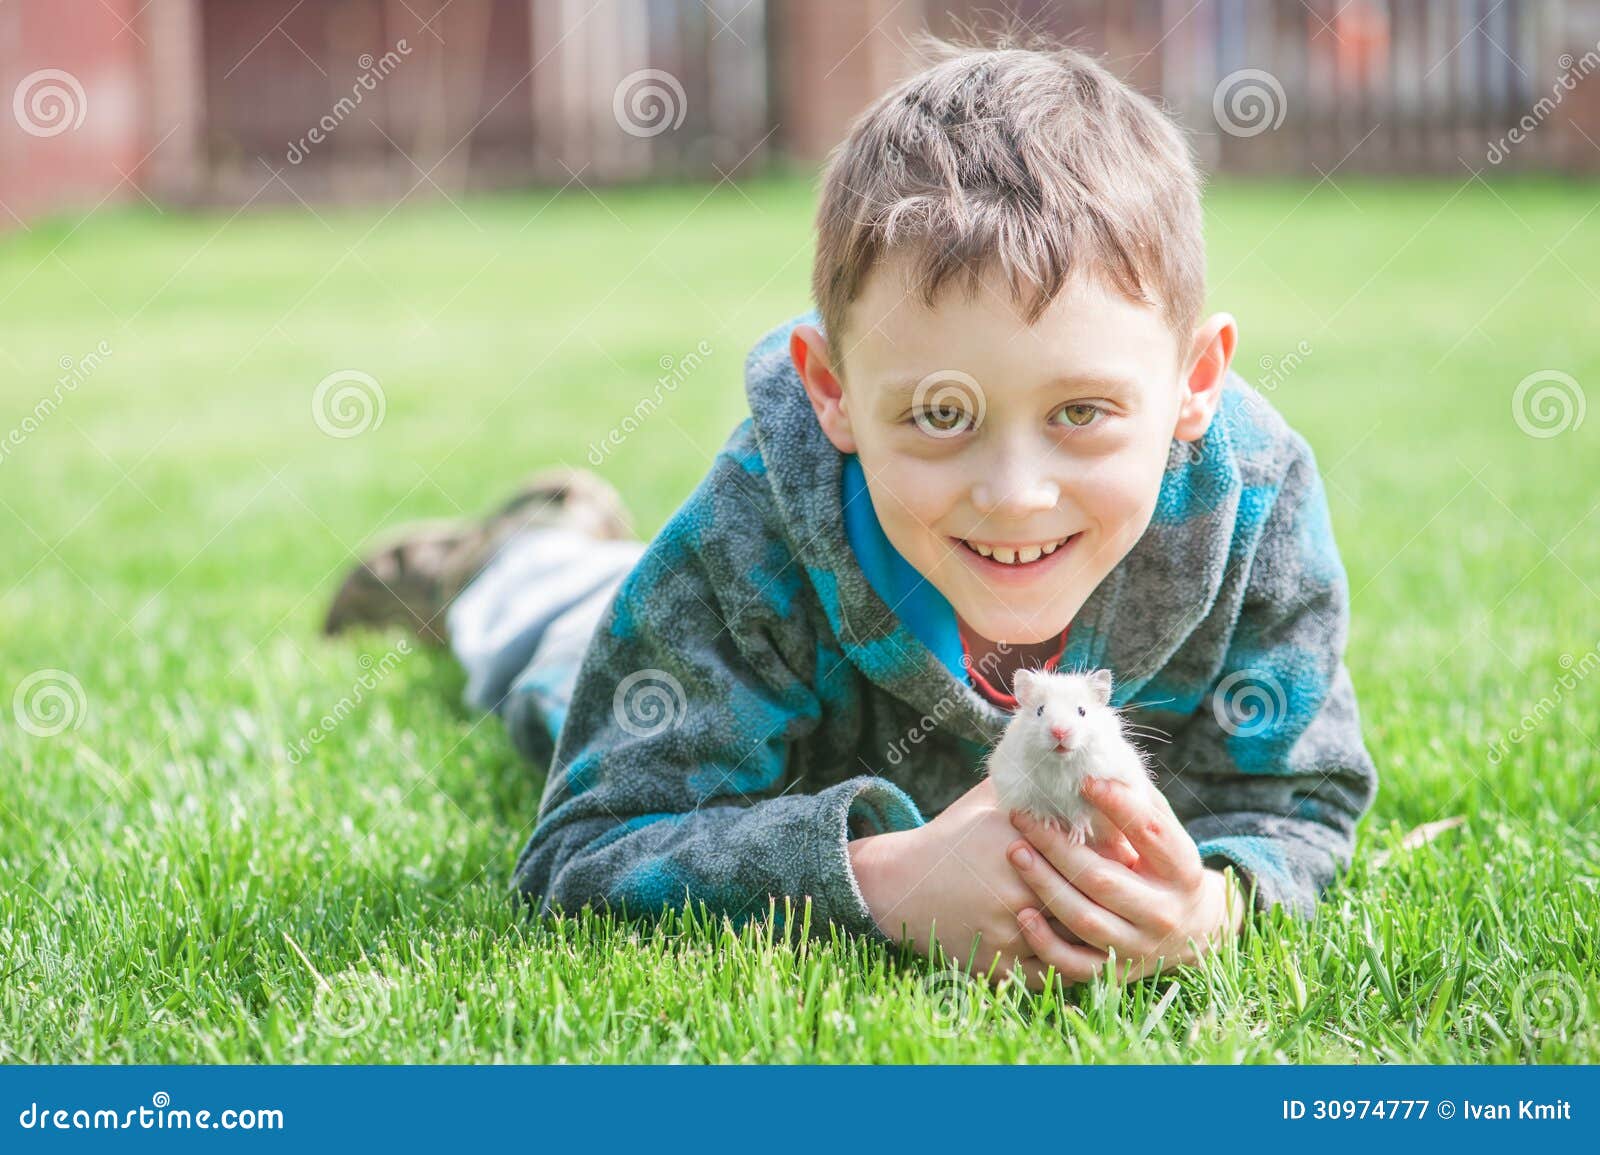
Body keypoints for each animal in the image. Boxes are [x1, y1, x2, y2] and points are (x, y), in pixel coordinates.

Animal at [984, 667, 1156, 848]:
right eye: (1040, 710)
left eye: (1082, 711)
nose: (1059, 732)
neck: (1060, 763)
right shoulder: (1017, 785)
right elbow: (1038, 804)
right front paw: (1049, 822)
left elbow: (1083, 811)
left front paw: (1076, 838)